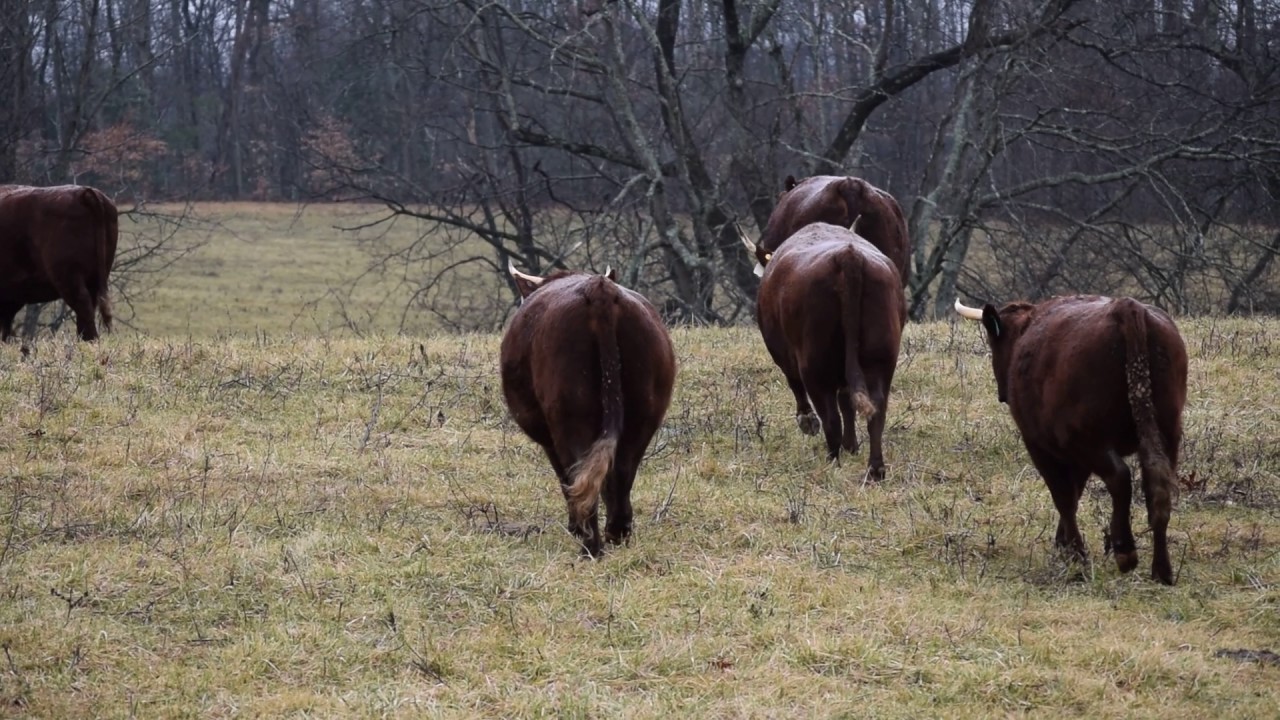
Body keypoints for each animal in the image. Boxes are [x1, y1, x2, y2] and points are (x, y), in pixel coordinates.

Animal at [500, 262, 676, 557]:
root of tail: (599, 290)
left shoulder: (549, 440)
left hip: (569, 413)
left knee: (579, 474)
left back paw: (589, 545)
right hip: (644, 410)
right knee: (621, 469)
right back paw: (617, 533)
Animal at [745, 222, 906, 479]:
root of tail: (848, 257)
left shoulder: (784, 355)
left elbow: (796, 386)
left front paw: (807, 420)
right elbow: (847, 402)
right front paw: (851, 445)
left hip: (815, 365)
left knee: (830, 417)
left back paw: (832, 460)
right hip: (882, 360)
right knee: (876, 411)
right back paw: (875, 469)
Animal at [954, 295, 1188, 585]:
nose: (1002, 393)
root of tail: (1126, 307)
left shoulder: (1042, 446)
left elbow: (1064, 496)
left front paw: (1074, 552)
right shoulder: (1077, 457)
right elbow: (1075, 494)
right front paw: (1063, 544)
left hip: (1090, 440)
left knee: (1119, 479)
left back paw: (1123, 550)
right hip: (1166, 434)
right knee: (1158, 488)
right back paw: (1161, 569)